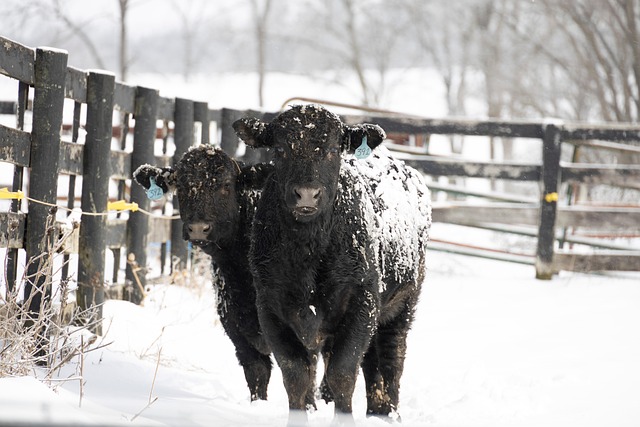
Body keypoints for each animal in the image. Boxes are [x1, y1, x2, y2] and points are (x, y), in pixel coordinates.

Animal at [233, 105, 431, 423]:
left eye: (332, 149)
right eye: (280, 149)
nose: (307, 194)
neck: (309, 252)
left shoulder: (362, 302)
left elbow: (343, 373)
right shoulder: (270, 307)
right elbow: (296, 376)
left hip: (403, 305)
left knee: (391, 356)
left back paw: (390, 412)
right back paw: (376, 410)